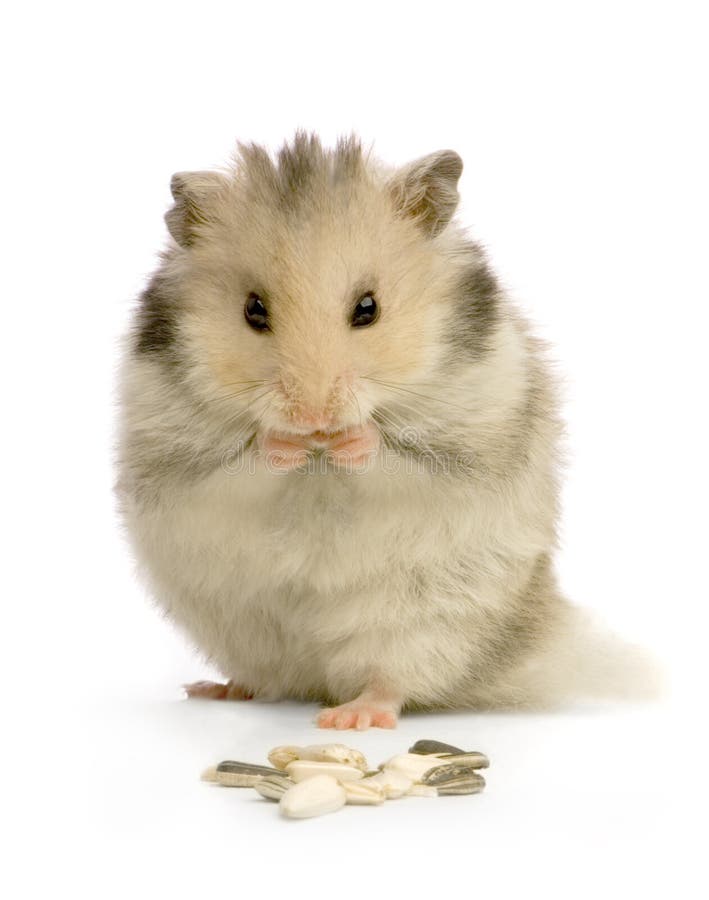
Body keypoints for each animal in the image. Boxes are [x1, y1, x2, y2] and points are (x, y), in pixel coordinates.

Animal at [116, 132, 657, 729]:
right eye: (253, 310)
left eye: (368, 309)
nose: (315, 418)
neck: (319, 465)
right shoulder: (176, 457)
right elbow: (242, 462)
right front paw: (284, 442)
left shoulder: (467, 445)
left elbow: (397, 458)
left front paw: (354, 440)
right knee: (268, 677)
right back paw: (217, 689)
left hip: (426, 620)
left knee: (391, 681)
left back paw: (348, 718)